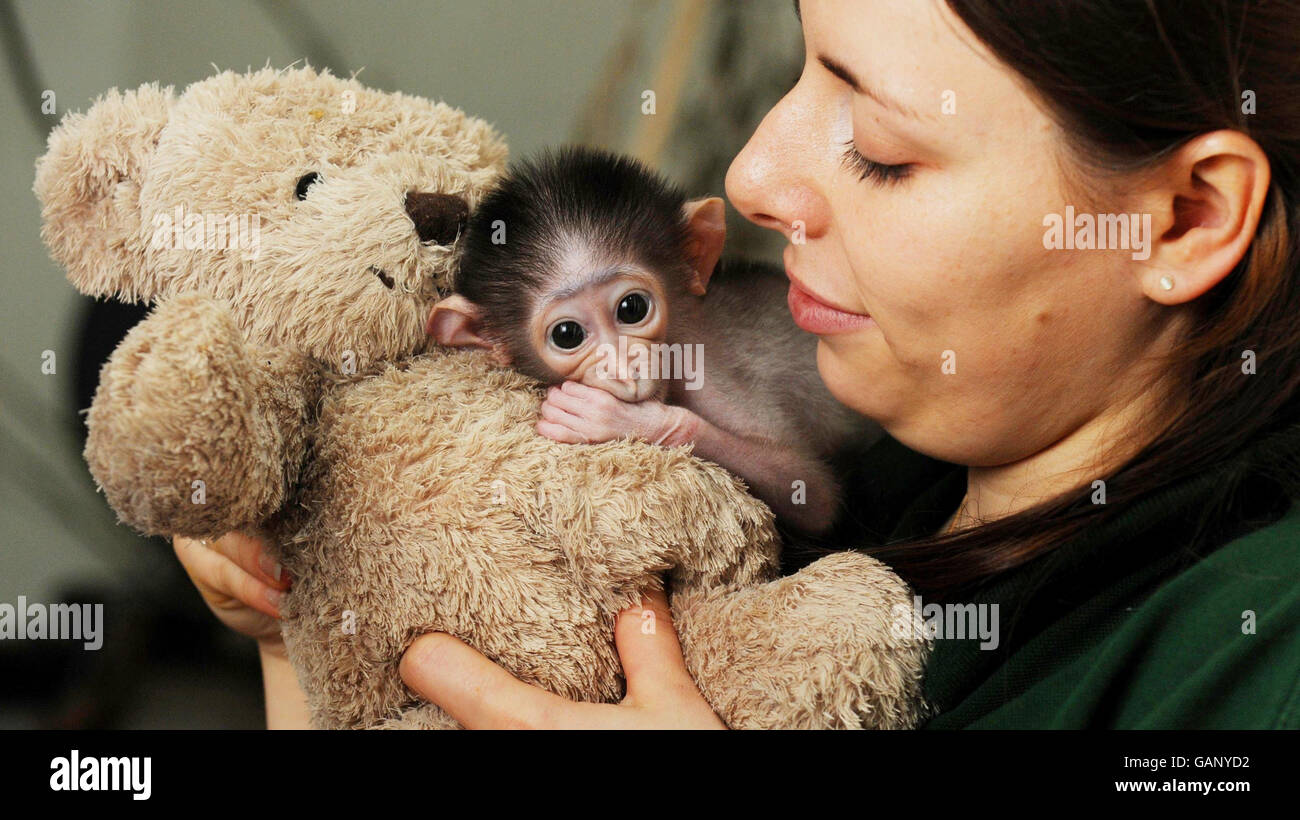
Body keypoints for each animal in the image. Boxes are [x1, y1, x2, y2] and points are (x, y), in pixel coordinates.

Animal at [427, 145, 880, 535]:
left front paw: (626, 420)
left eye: (632, 309)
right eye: (567, 335)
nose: (624, 367)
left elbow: (809, 488)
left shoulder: (708, 373)